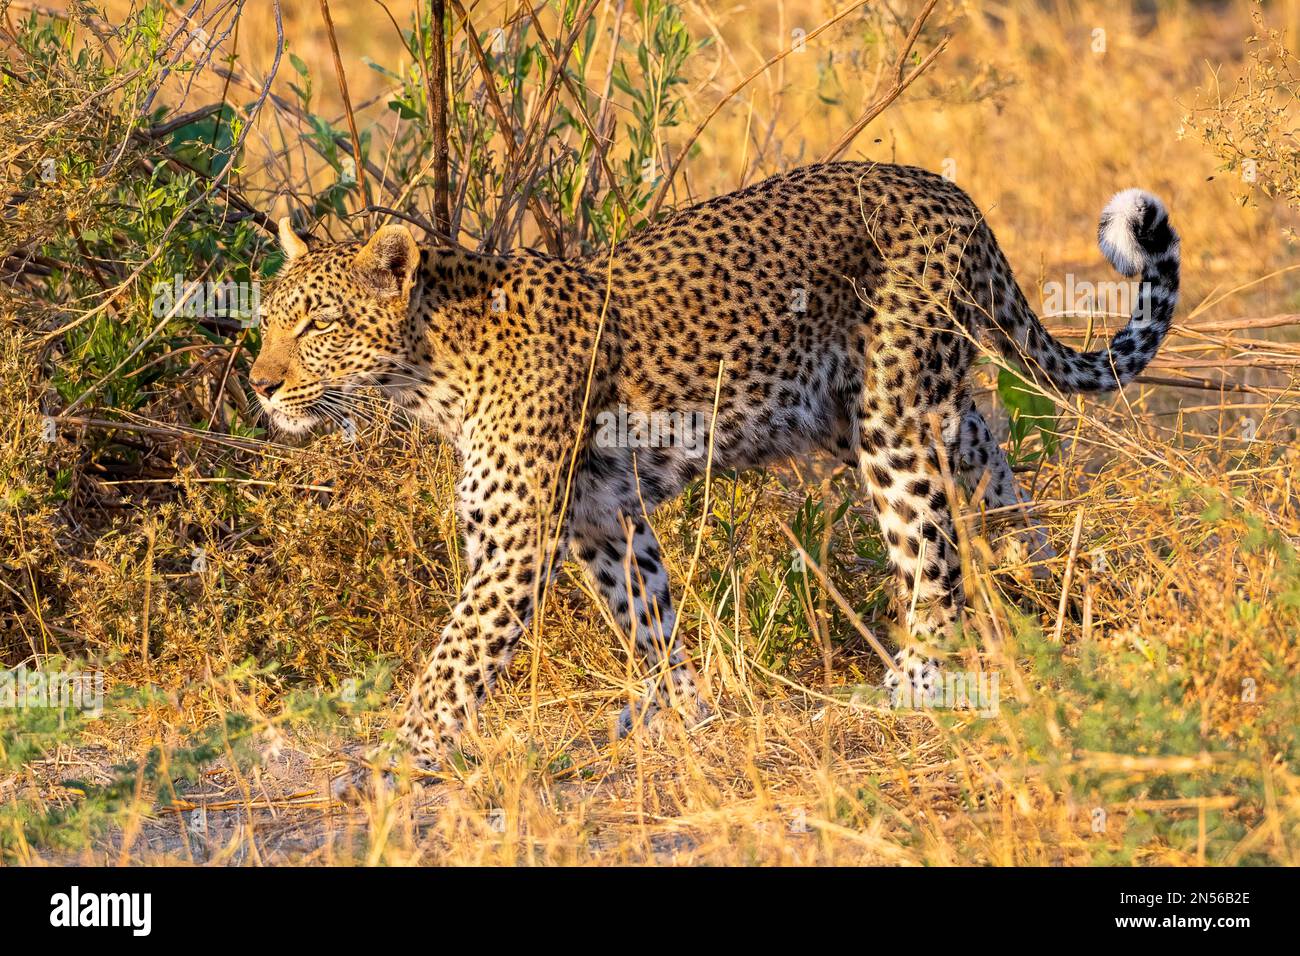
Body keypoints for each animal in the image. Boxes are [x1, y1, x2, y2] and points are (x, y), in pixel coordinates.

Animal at [249, 161, 1180, 789]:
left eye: (319, 325)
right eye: (267, 319)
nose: (259, 383)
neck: (430, 370)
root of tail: (949, 192)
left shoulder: (517, 546)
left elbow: (448, 669)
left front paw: (391, 767)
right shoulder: (602, 520)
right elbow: (648, 620)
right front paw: (685, 716)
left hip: (892, 417)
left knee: (933, 556)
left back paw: (910, 684)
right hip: (857, 409)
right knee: (986, 449)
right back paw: (1043, 573)